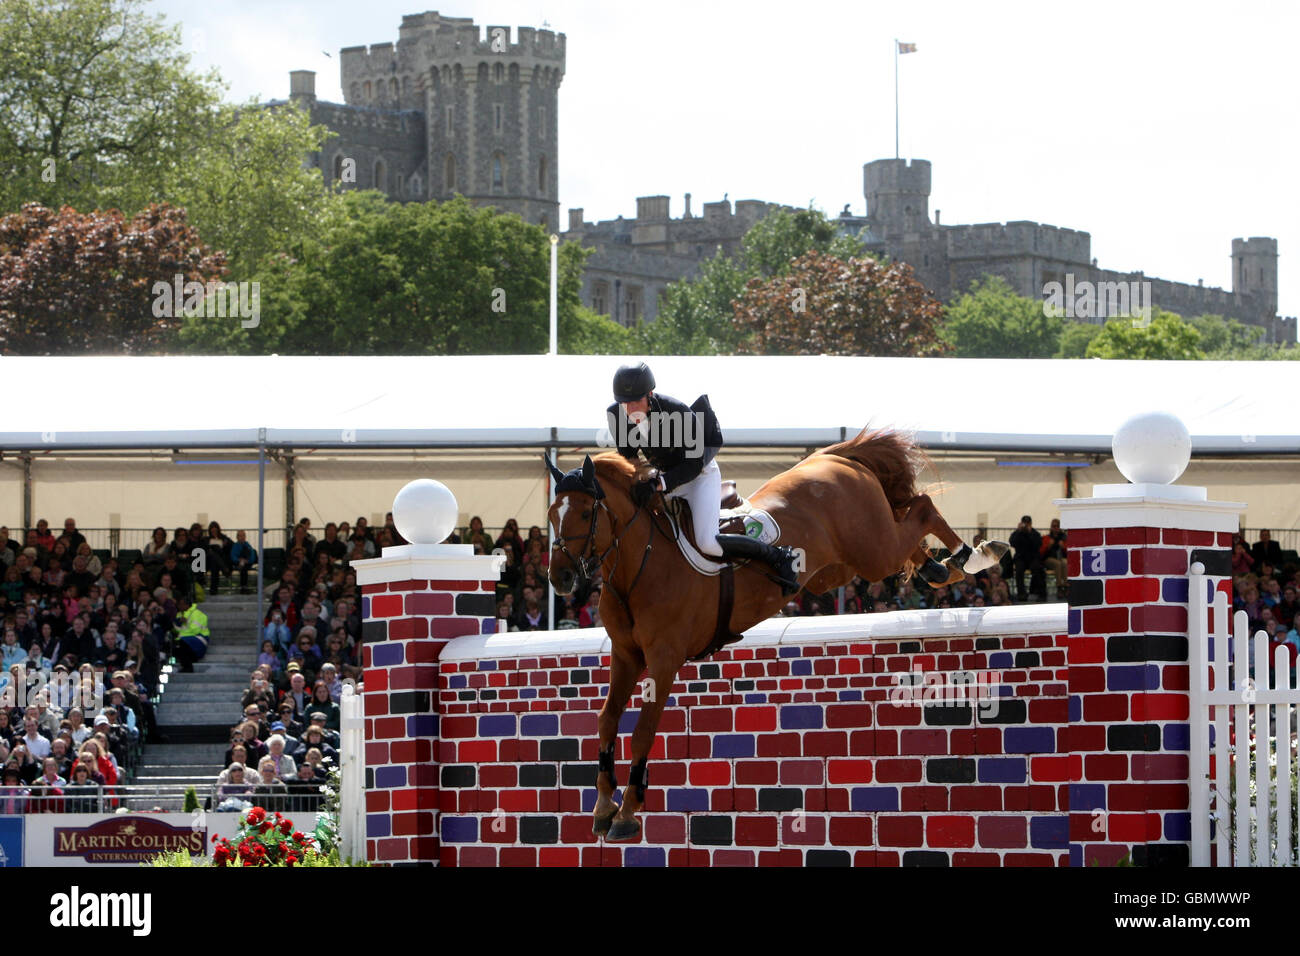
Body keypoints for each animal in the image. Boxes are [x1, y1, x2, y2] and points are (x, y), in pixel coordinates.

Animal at [545, 428, 1008, 842]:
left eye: (585, 514)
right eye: (552, 516)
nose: (561, 578)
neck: (637, 567)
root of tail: (834, 458)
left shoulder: (664, 658)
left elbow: (642, 729)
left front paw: (627, 813)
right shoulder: (626, 656)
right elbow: (607, 720)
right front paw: (603, 807)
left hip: (871, 550)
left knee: (923, 508)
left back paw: (979, 554)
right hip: (843, 567)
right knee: (908, 523)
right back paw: (941, 568)